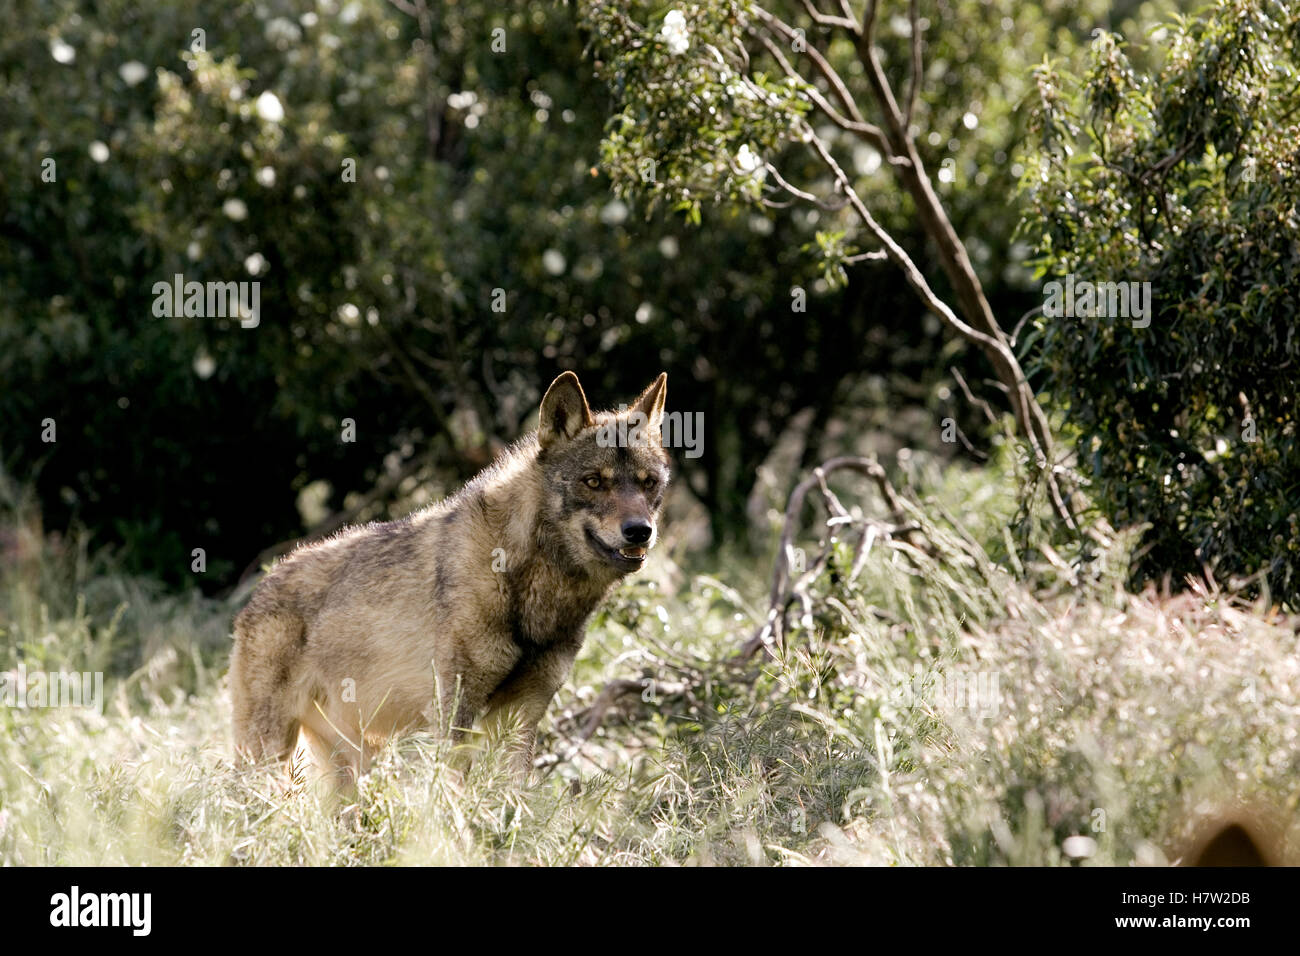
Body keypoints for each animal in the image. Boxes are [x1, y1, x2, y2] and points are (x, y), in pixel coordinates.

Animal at [229, 370, 669, 783]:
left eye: (648, 483)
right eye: (593, 481)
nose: (639, 531)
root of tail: (257, 592)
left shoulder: (522, 717)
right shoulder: (455, 711)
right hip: (267, 756)